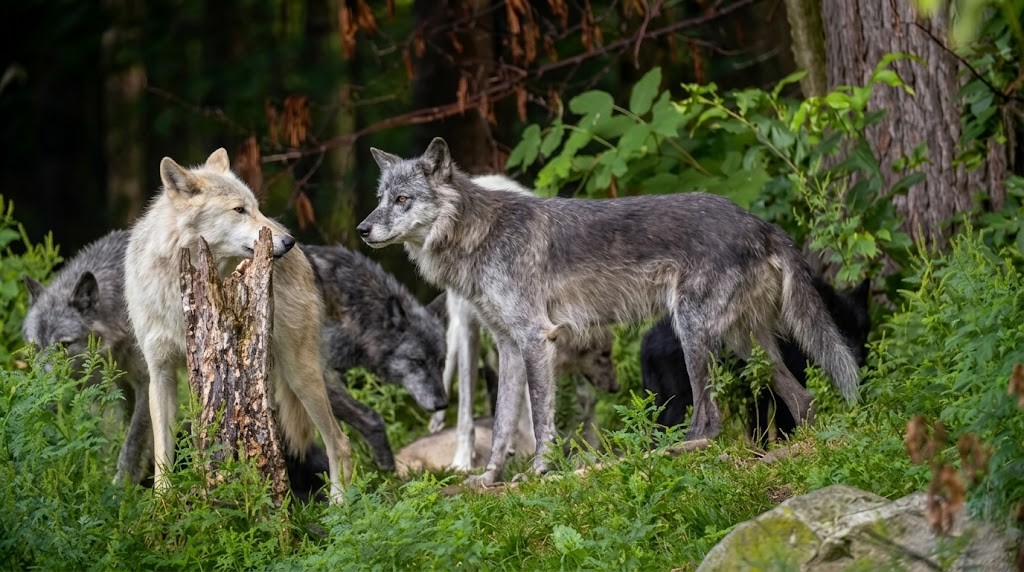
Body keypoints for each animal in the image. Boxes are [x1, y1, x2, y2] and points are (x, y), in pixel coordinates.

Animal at [125, 149, 351, 503]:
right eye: (239, 210)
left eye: (255, 207)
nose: (288, 241)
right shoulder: (160, 372)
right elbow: (163, 451)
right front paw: (163, 504)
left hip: (300, 374)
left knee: (340, 442)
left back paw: (340, 507)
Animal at [641, 277, 870, 442]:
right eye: (842, 331)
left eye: (862, 332)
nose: (859, 358)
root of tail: (646, 340)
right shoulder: (767, 388)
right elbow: (777, 424)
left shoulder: (762, 390)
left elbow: (764, 425)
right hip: (680, 400)